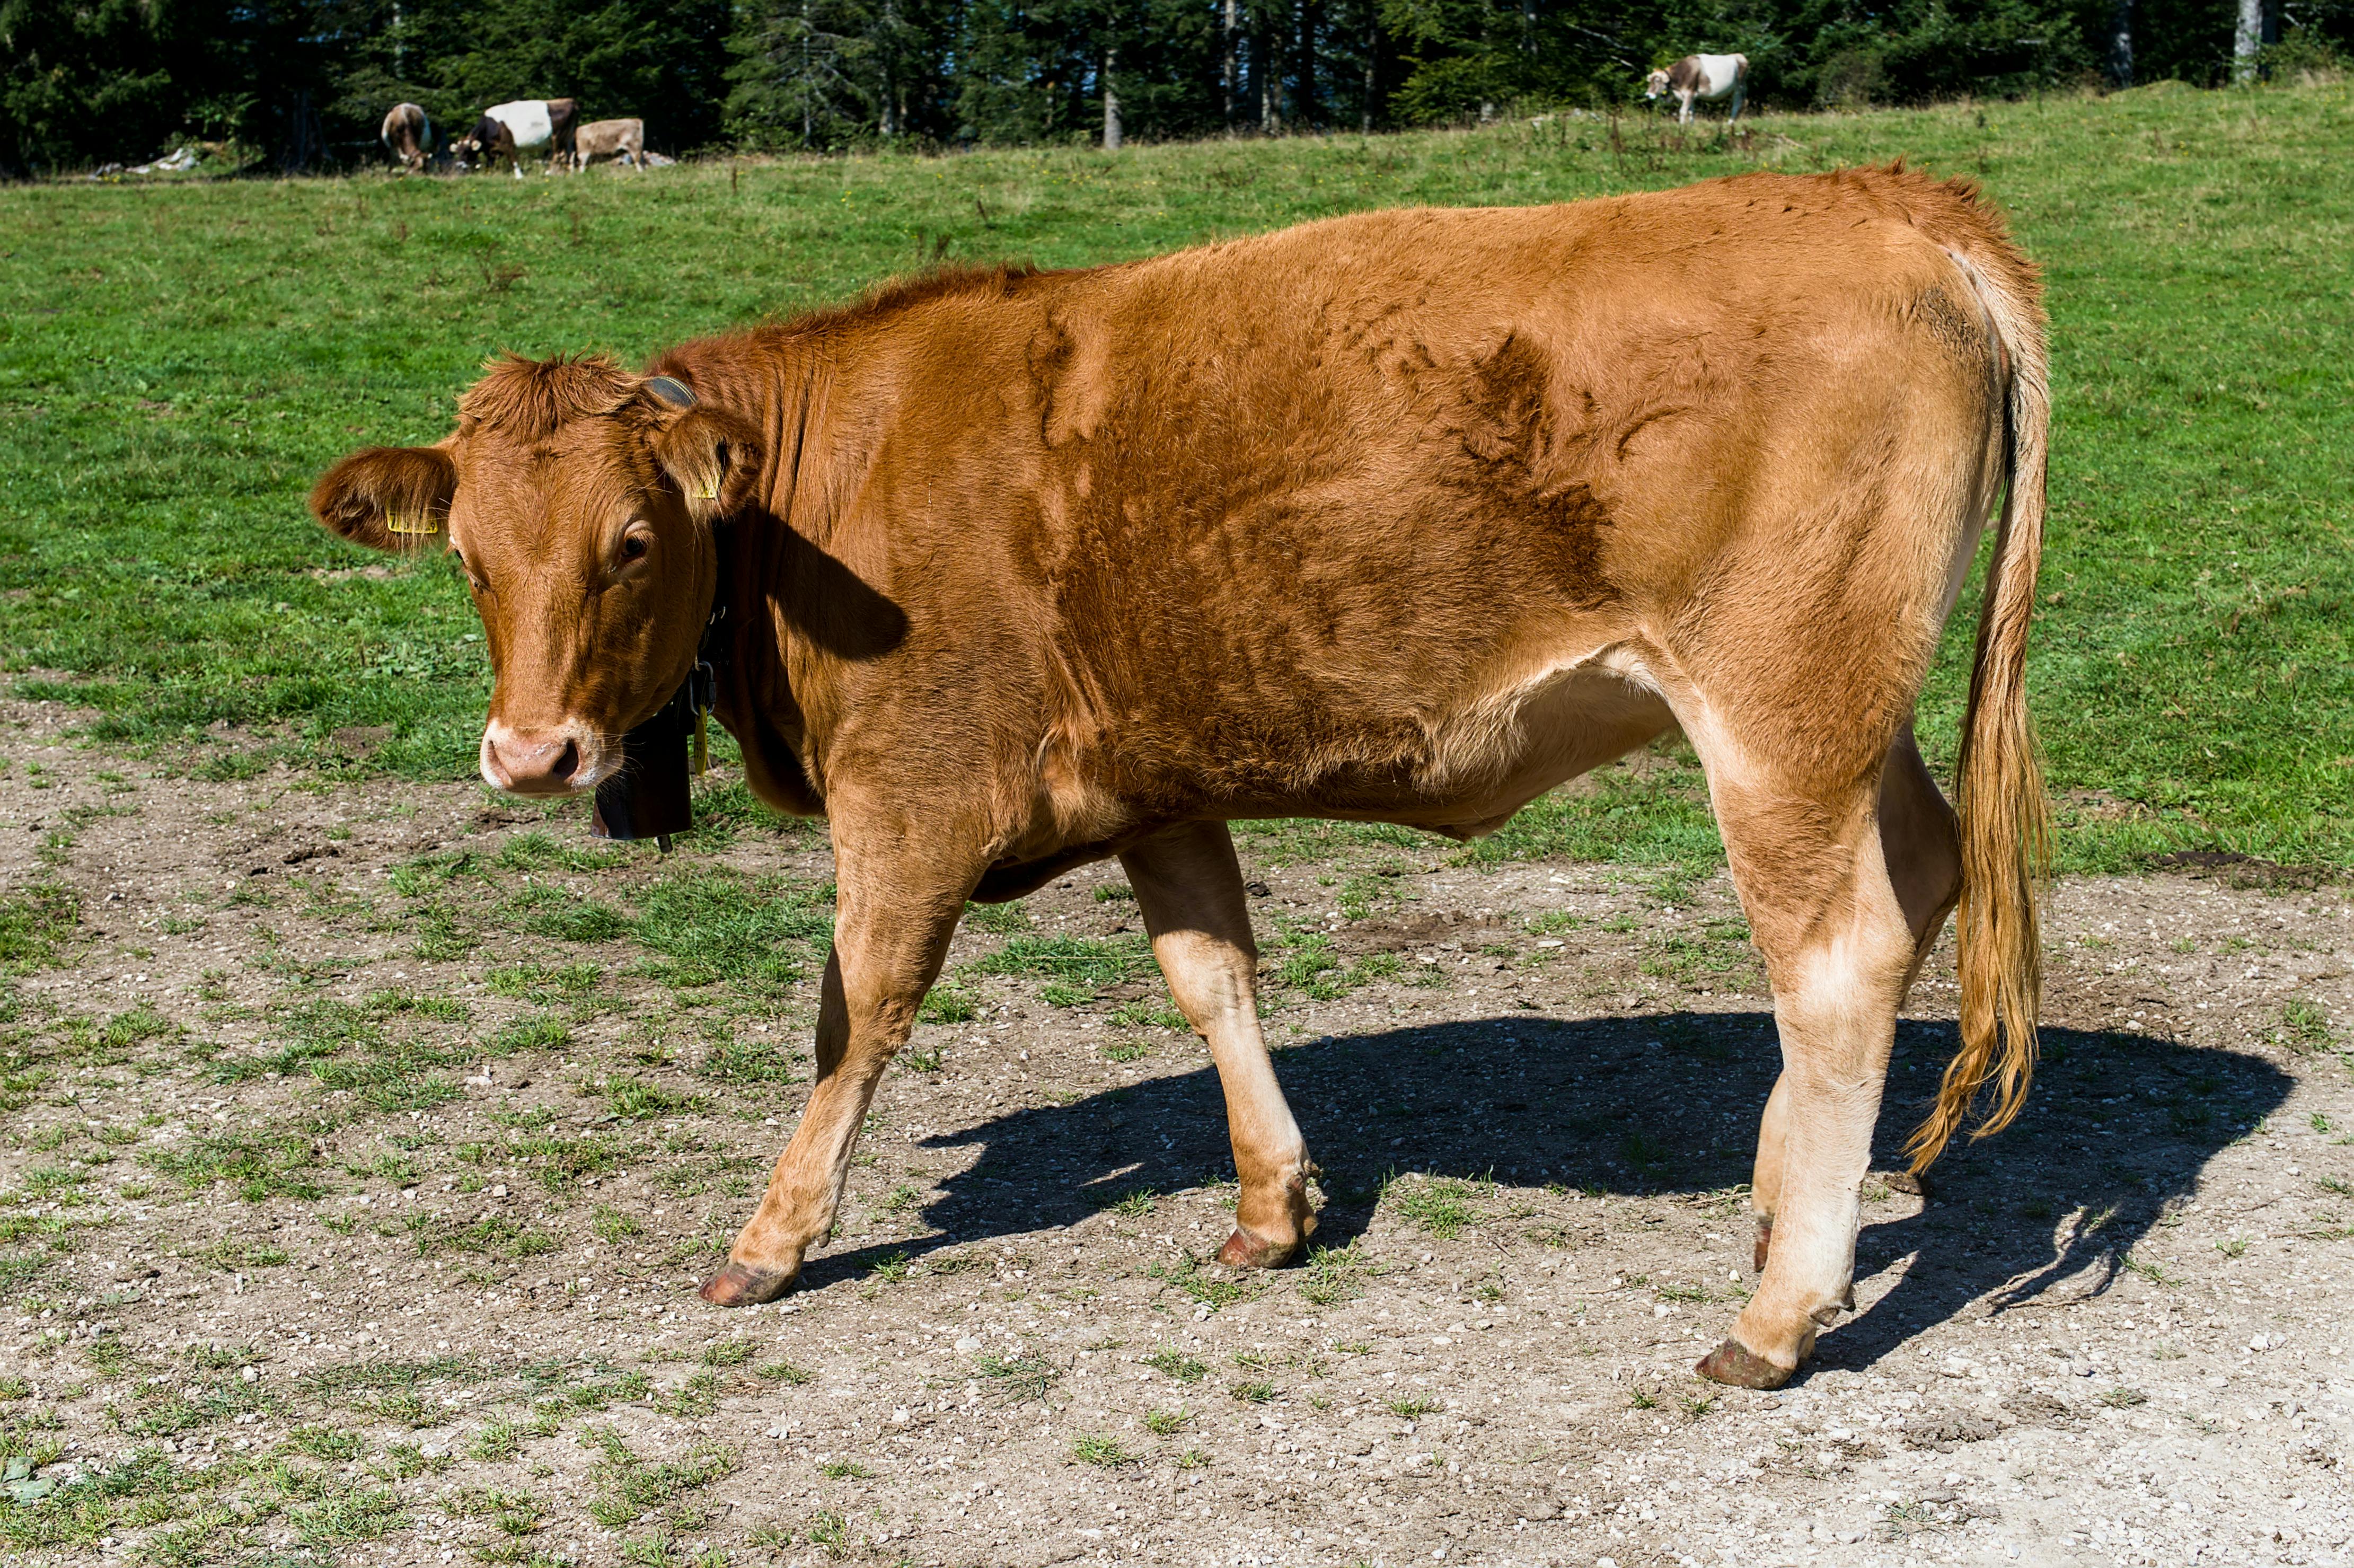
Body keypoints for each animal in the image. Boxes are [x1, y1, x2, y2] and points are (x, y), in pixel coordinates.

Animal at [309, 167, 2049, 1390]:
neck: (821, 496)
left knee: (1834, 959)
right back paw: (1775, 1206)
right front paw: (1272, 1206)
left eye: (633, 540)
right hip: (1858, 718)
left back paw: (1778, 1307)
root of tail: (1887, 199)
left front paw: (770, 1238)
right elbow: (1211, 975)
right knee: (1922, 879)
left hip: (1777, 714)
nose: (532, 751)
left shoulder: (910, 798)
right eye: (469, 557)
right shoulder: (1158, 783)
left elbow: (851, 1014)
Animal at [454, 98, 578, 177]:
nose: (459, 166)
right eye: (458, 152)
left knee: (557, 154)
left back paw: (549, 173)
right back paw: (572, 173)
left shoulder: (507, 144)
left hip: (557, 136)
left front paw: (519, 176)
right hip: (568, 136)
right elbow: (490, 164)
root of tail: (570, 101)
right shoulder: (491, 150)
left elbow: (513, 160)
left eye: (467, 151)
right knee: (571, 153)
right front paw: (489, 175)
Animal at [1645, 54, 1749, 123]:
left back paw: (1730, 124)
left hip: (1739, 88)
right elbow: (1692, 113)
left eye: (1657, 81)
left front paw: (1681, 129)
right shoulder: (1691, 96)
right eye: (1650, 80)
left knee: (1738, 104)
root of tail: (1739, 56)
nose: (1648, 95)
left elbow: (1683, 112)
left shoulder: (1689, 93)